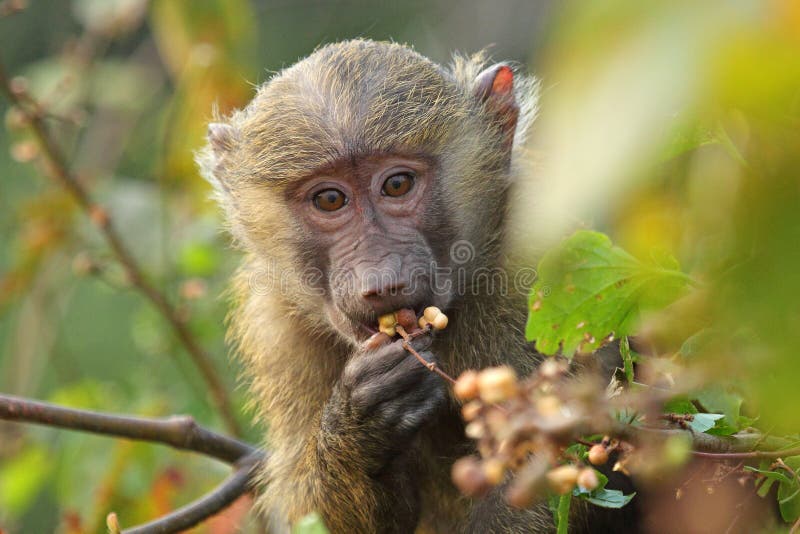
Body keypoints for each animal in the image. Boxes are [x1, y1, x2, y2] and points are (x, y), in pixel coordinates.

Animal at [198, 39, 637, 533]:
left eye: (397, 184)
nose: (382, 282)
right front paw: (361, 422)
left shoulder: (536, 270)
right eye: (329, 199)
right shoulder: (277, 324)